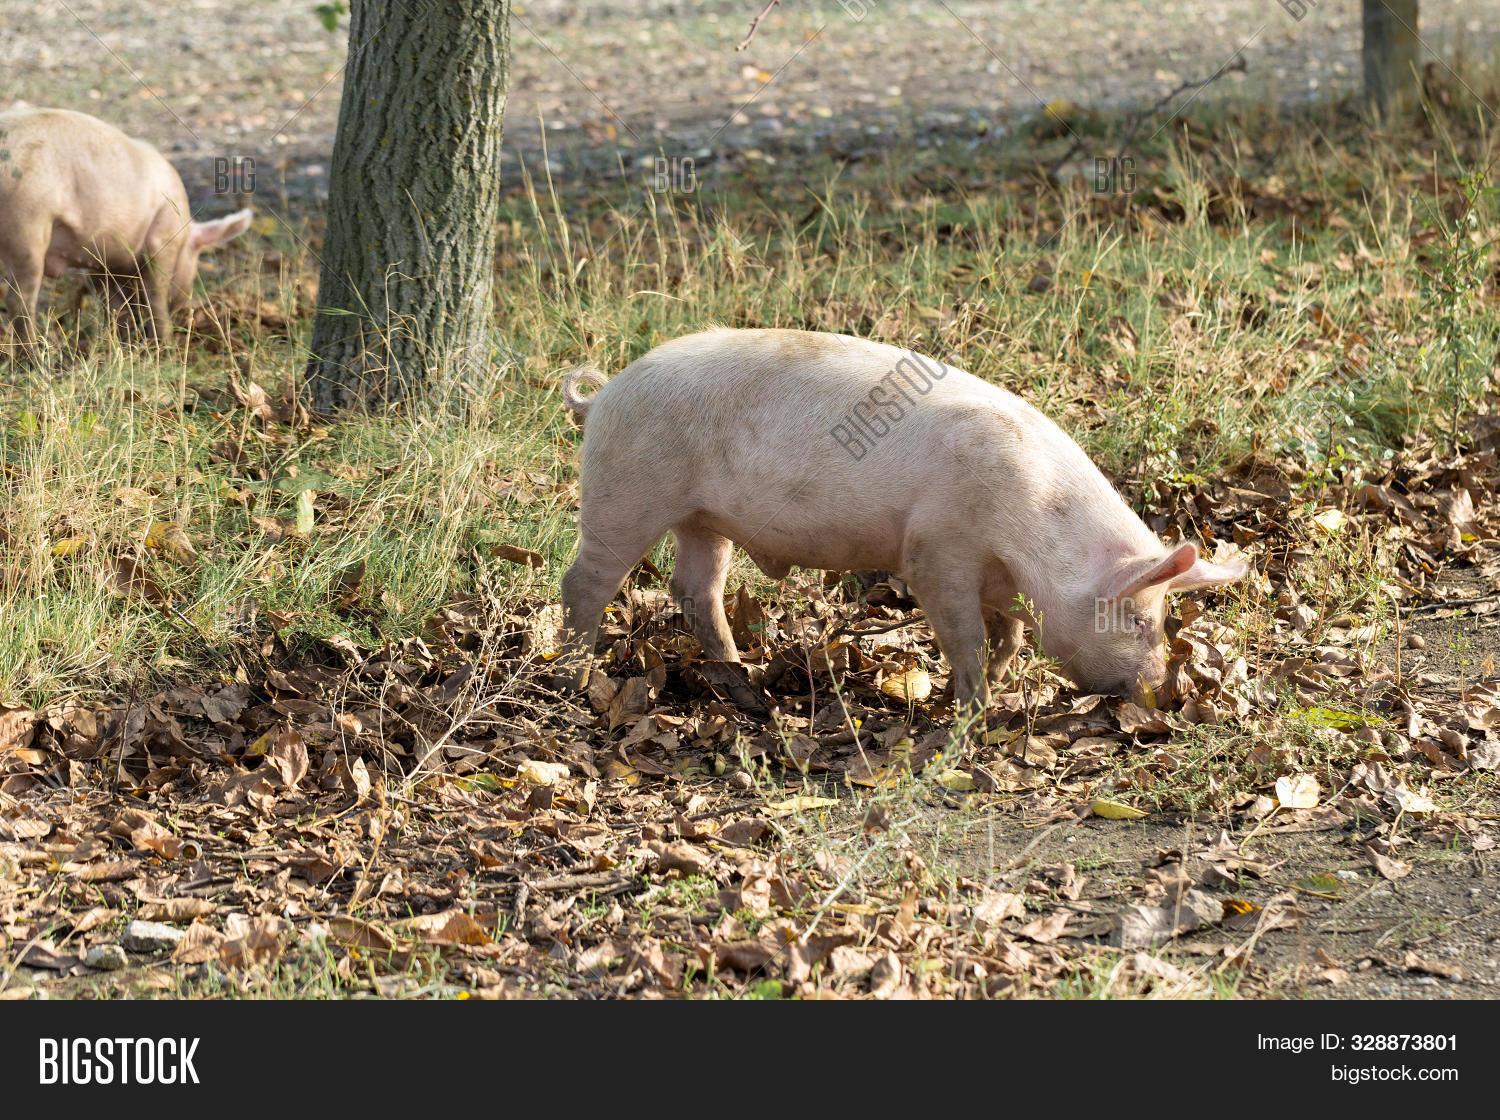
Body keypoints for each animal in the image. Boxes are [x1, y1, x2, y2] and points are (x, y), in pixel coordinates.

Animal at [0, 107, 252, 357]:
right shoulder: (163, 238)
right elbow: (156, 296)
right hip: (27, 222)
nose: (184, 311)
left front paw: (122, 345)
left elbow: (114, 306)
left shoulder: (103, 262)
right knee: (19, 299)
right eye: (194, 264)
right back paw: (36, 359)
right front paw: (165, 347)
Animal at [557, 328, 1246, 710]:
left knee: (695, 588)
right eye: (1138, 617)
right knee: (584, 582)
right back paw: (573, 681)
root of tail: (603, 395)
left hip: (701, 518)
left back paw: (747, 687)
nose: (1165, 693)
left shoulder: (994, 575)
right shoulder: (936, 552)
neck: (1035, 531)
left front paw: (997, 683)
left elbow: (1008, 635)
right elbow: (966, 638)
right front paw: (972, 711)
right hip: (627, 492)